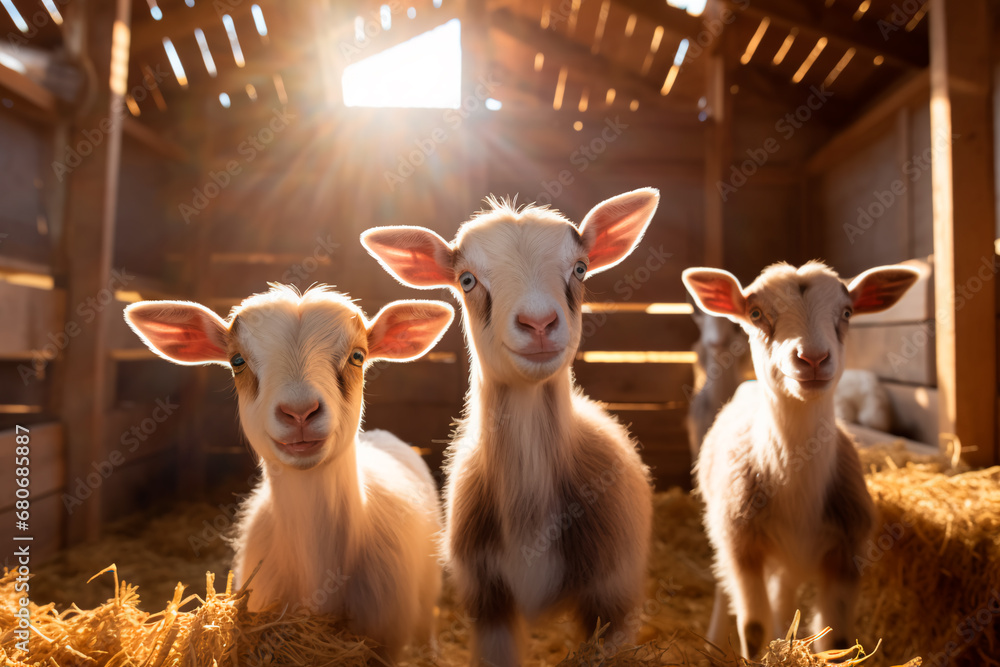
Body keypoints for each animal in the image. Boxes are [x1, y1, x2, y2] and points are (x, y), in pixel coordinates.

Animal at [682, 261, 918, 659]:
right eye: (755, 313)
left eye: (847, 312)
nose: (813, 358)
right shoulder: (743, 547)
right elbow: (754, 630)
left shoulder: (846, 554)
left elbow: (838, 642)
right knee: (725, 587)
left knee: (783, 598)